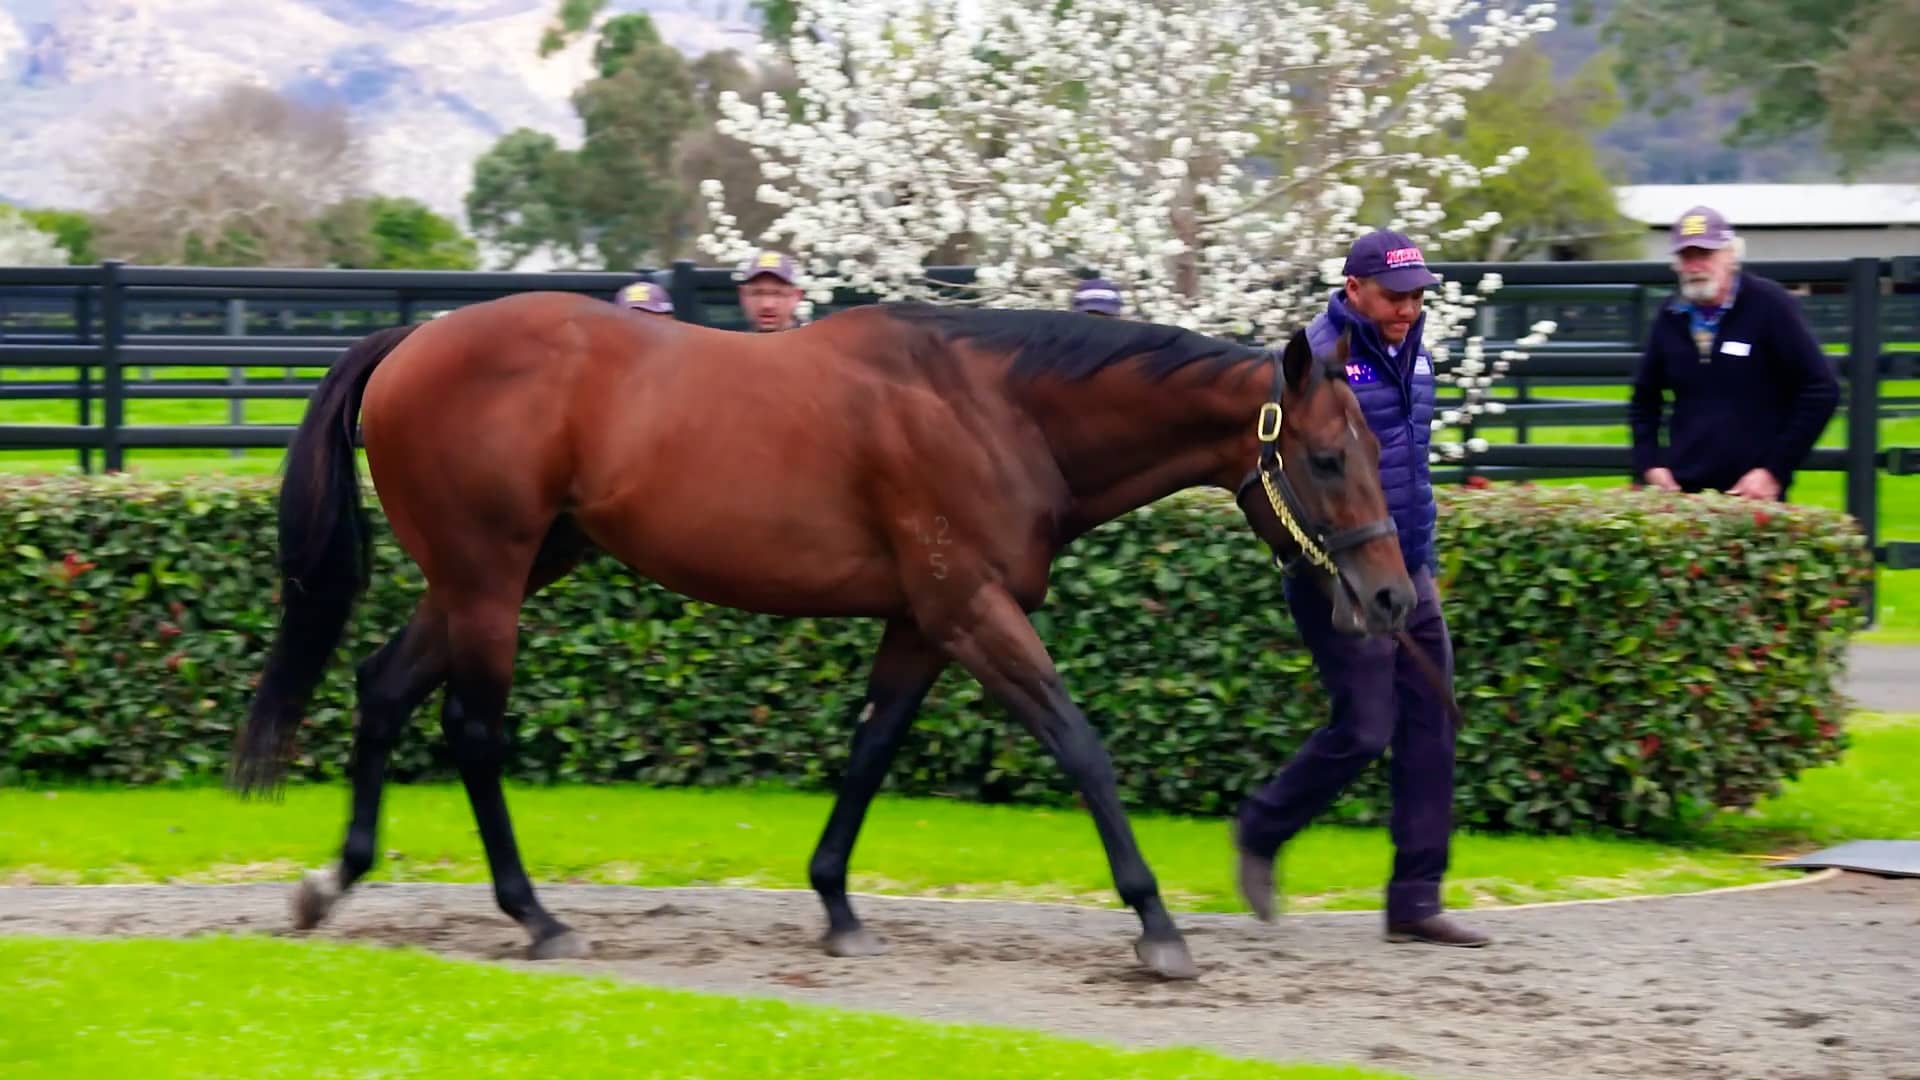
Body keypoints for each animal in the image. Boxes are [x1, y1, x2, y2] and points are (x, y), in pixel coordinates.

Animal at [227, 291, 1417, 981]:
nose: (1393, 601)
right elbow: (1080, 746)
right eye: (1324, 458)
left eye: (1370, 446)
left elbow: (871, 749)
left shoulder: (921, 623)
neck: (995, 409)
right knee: (469, 732)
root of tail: (413, 340)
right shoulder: (973, 610)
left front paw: (838, 904)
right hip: (487, 581)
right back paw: (536, 920)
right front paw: (1158, 927)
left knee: (383, 687)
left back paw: (334, 882)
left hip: (497, 572)